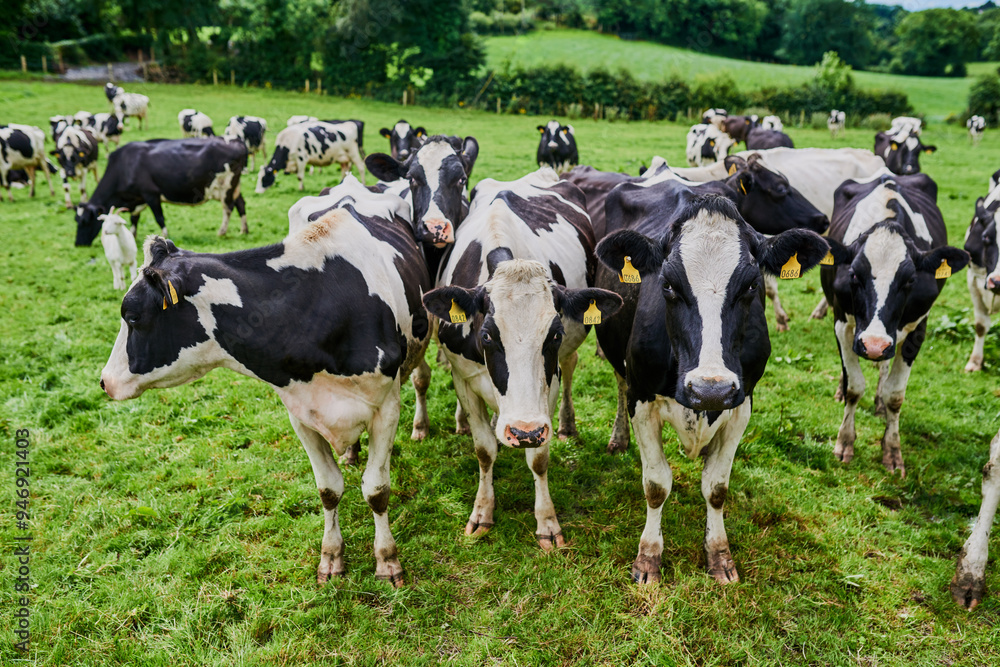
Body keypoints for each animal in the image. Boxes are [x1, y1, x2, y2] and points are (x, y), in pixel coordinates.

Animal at [75, 138, 248, 245]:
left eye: (85, 221)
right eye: (76, 220)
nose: (78, 244)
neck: (126, 165)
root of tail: (234, 140)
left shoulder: (151, 194)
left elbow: (159, 218)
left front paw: (165, 236)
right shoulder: (137, 198)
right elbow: (134, 218)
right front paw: (132, 235)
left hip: (226, 186)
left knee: (228, 208)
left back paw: (222, 231)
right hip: (235, 187)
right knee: (241, 204)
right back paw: (244, 230)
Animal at [99, 182, 432, 587]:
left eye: (131, 316)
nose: (105, 381)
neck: (317, 304)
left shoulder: (386, 409)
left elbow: (377, 490)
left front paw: (387, 559)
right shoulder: (302, 413)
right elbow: (328, 489)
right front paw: (331, 556)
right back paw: (352, 453)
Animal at [423, 167, 622, 548]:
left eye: (554, 335)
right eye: (487, 336)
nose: (523, 431)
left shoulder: (549, 383)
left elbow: (539, 459)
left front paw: (547, 522)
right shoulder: (462, 377)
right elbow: (484, 450)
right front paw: (482, 512)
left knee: (573, 366)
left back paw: (568, 425)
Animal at [592, 176, 828, 584]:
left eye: (751, 285)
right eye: (668, 285)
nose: (710, 389)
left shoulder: (742, 401)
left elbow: (716, 487)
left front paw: (719, 556)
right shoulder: (642, 397)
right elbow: (656, 485)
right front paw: (648, 557)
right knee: (619, 384)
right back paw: (618, 439)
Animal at [821, 173, 968, 477]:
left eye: (910, 280)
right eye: (854, 274)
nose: (873, 345)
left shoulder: (916, 329)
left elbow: (895, 395)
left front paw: (891, 451)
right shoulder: (842, 323)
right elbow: (854, 385)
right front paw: (844, 443)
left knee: (884, 368)